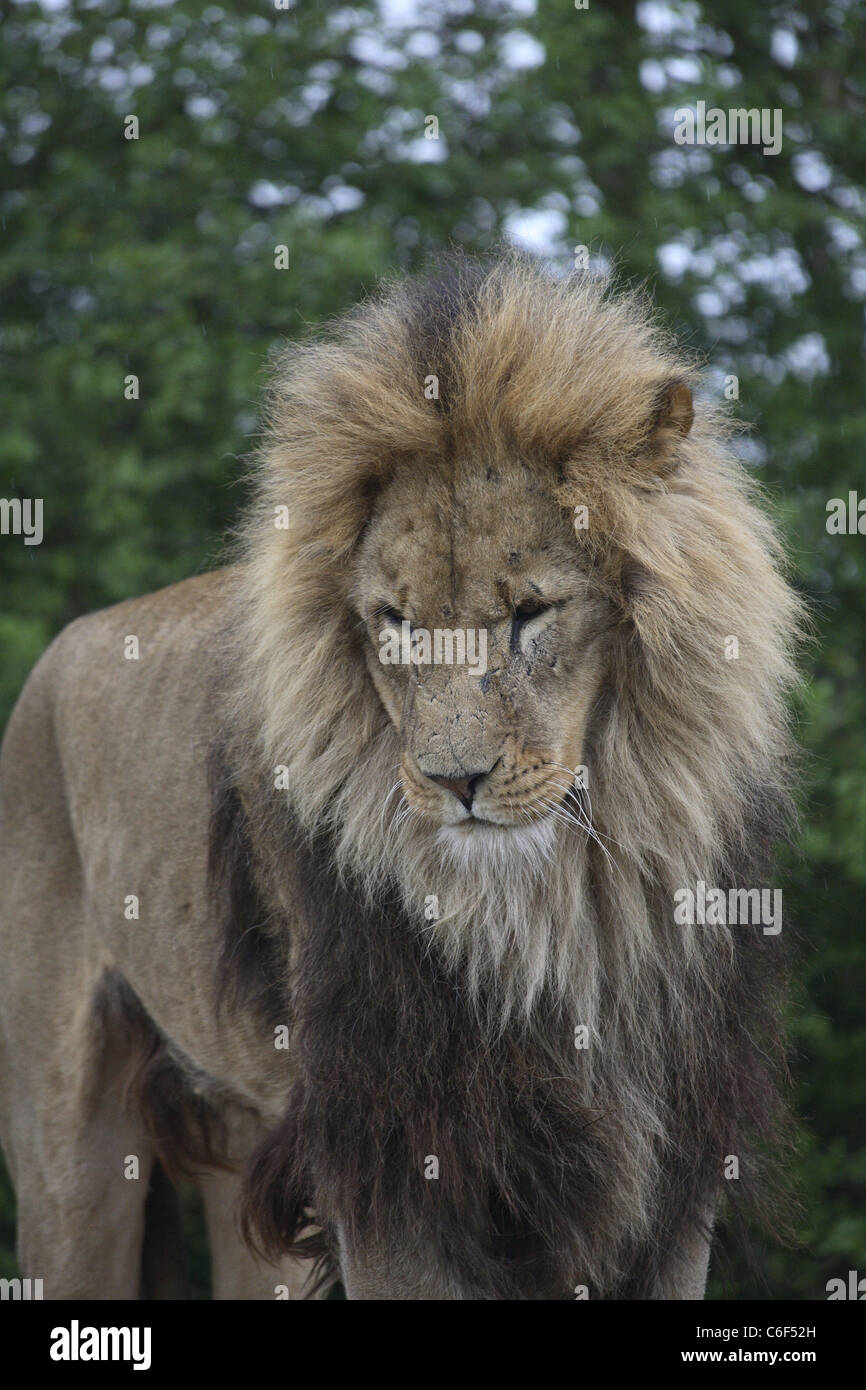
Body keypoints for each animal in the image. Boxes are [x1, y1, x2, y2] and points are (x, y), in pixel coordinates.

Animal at [0, 254, 801, 1300]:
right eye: (397, 623)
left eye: (531, 612)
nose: (455, 781)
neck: (552, 907)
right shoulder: (388, 1154)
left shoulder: (674, 1161)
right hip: (69, 1146)